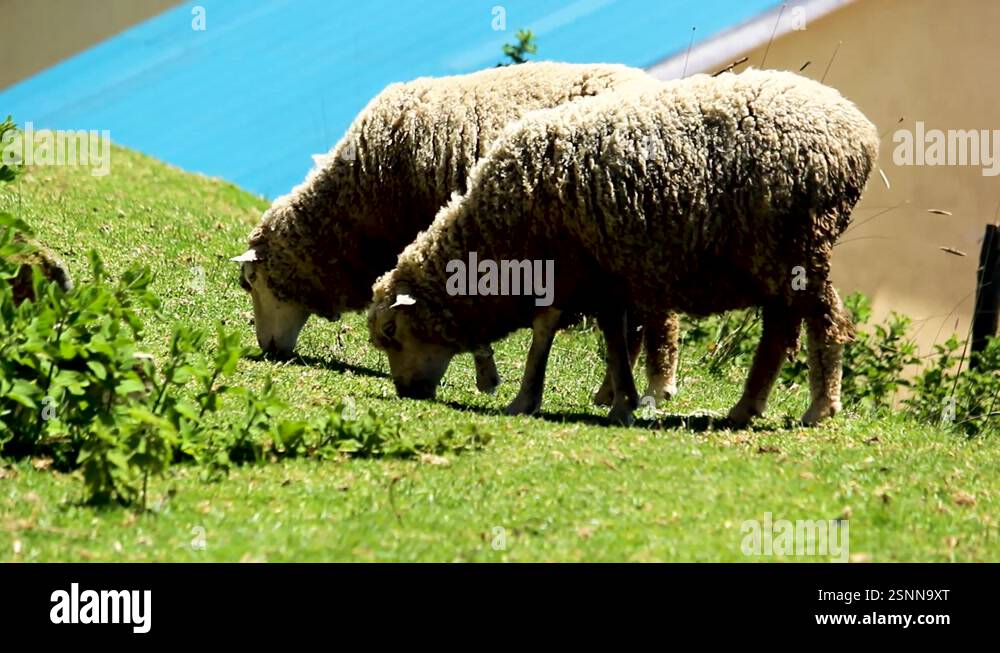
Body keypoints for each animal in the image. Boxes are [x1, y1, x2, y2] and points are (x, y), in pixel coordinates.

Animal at [232, 61, 680, 402]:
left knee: (658, 322)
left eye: (252, 281)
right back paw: (611, 393)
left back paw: (656, 388)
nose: (267, 349)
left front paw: (486, 376)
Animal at [368, 68, 879, 426]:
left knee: (826, 319)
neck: (498, 234)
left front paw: (526, 398)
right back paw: (746, 408)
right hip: (776, 256)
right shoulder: (603, 272)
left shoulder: (567, 265)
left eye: (392, 331)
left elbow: (547, 329)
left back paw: (819, 408)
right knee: (779, 329)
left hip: (797, 245)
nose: (406, 392)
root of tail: (860, 131)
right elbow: (613, 335)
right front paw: (622, 401)